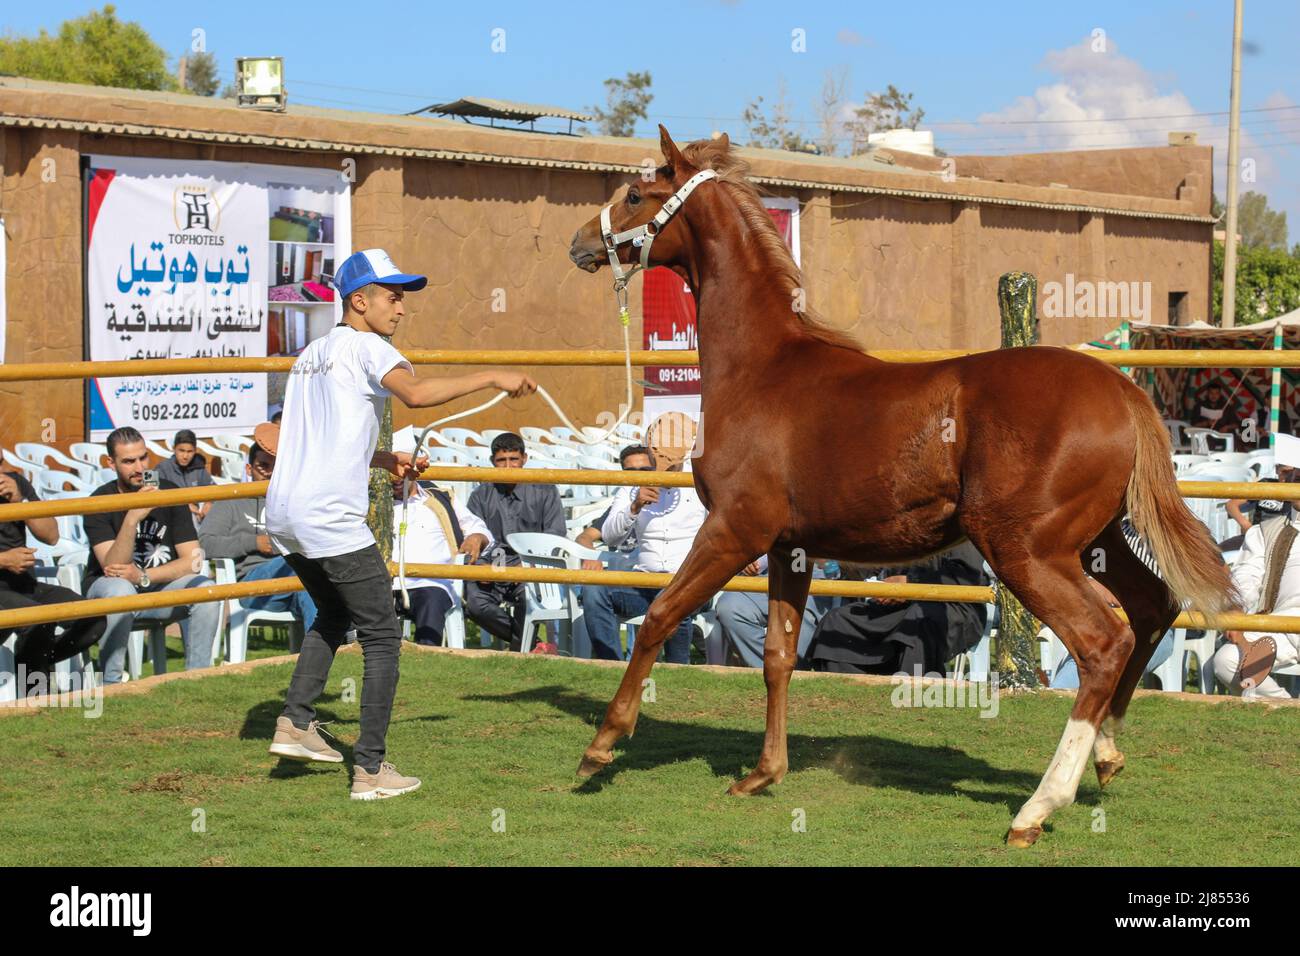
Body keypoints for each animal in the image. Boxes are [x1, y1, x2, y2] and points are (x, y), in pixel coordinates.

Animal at [567, 126, 1235, 847]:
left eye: (636, 193)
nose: (580, 243)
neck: (762, 368)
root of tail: (1123, 391)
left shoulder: (733, 529)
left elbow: (661, 616)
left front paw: (601, 745)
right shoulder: (788, 547)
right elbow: (778, 653)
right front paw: (763, 774)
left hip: (1029, 551)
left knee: (1103, 643)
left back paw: (1036, 808)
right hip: (1093, 543)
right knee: (1152, 608)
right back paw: (1106, 756)